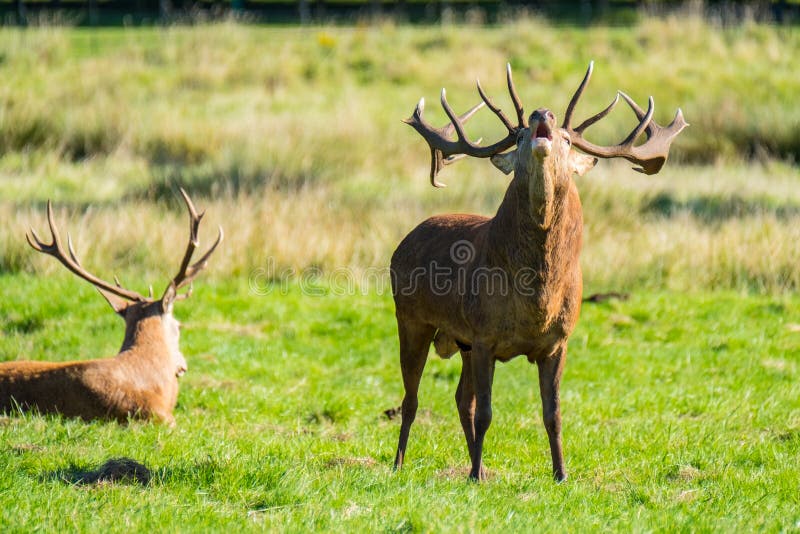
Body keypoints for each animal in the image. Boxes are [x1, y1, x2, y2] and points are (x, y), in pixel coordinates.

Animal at [391, 62, 687, 481]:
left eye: (566, 138)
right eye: (518, 136)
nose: (541, 114)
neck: (537, 301)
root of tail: (403, 242)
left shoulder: (558, 341)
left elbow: (553, 414)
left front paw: (561, 473)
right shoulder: (485, 335)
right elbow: (486, 413)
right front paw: (475, 477)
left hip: (460, 341)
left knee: (460, 397)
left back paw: (476, 465)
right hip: (412, 319)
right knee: (412, 398)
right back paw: (401, 464)